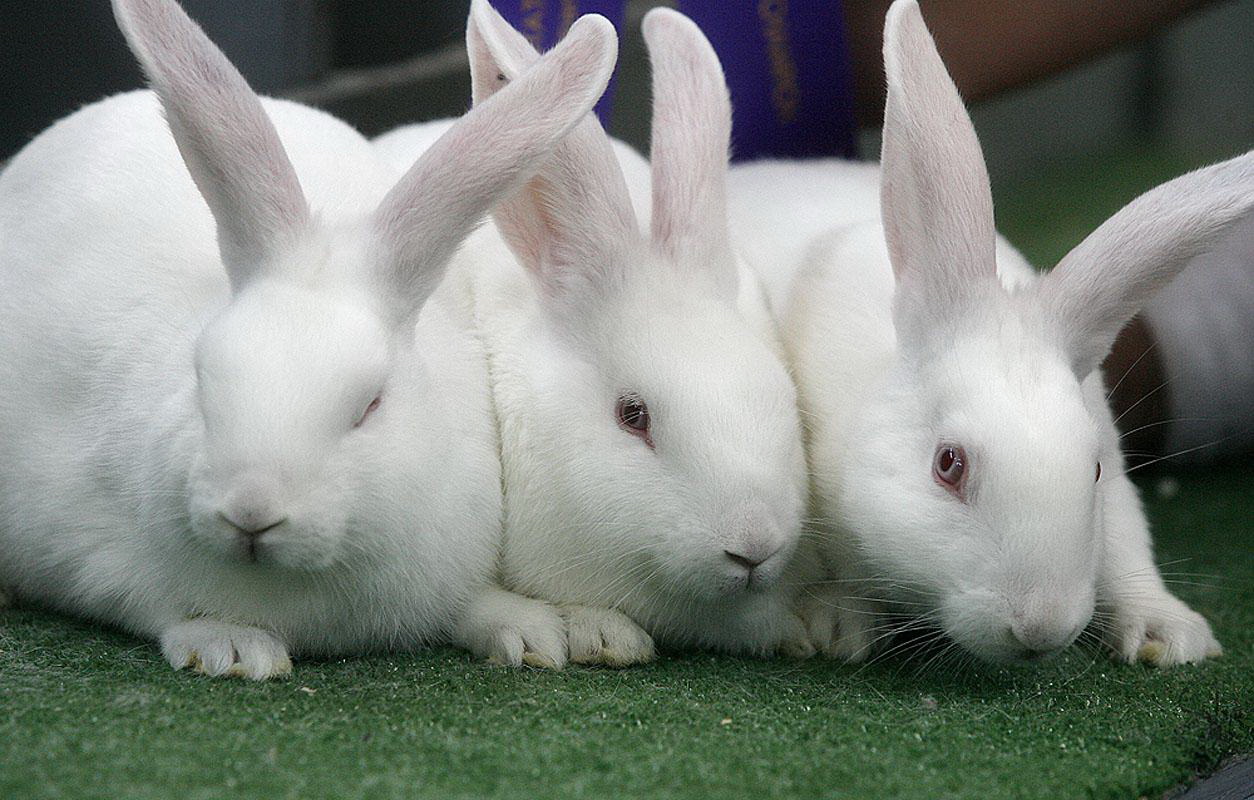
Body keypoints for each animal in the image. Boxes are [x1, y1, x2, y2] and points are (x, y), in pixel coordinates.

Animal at [0, 0, 619, 677]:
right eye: (202, 383)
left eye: (369, 407)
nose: (251, 512)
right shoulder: (86, 548)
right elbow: (155, 605)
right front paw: (232, 647)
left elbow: (472, 603)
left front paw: (533, 633)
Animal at [728, 0, 1253, 667]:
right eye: (948, 465)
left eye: (1094, 470)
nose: (1041, 628)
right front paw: (840, 623)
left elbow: (1127, 544)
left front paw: (1170, 634)